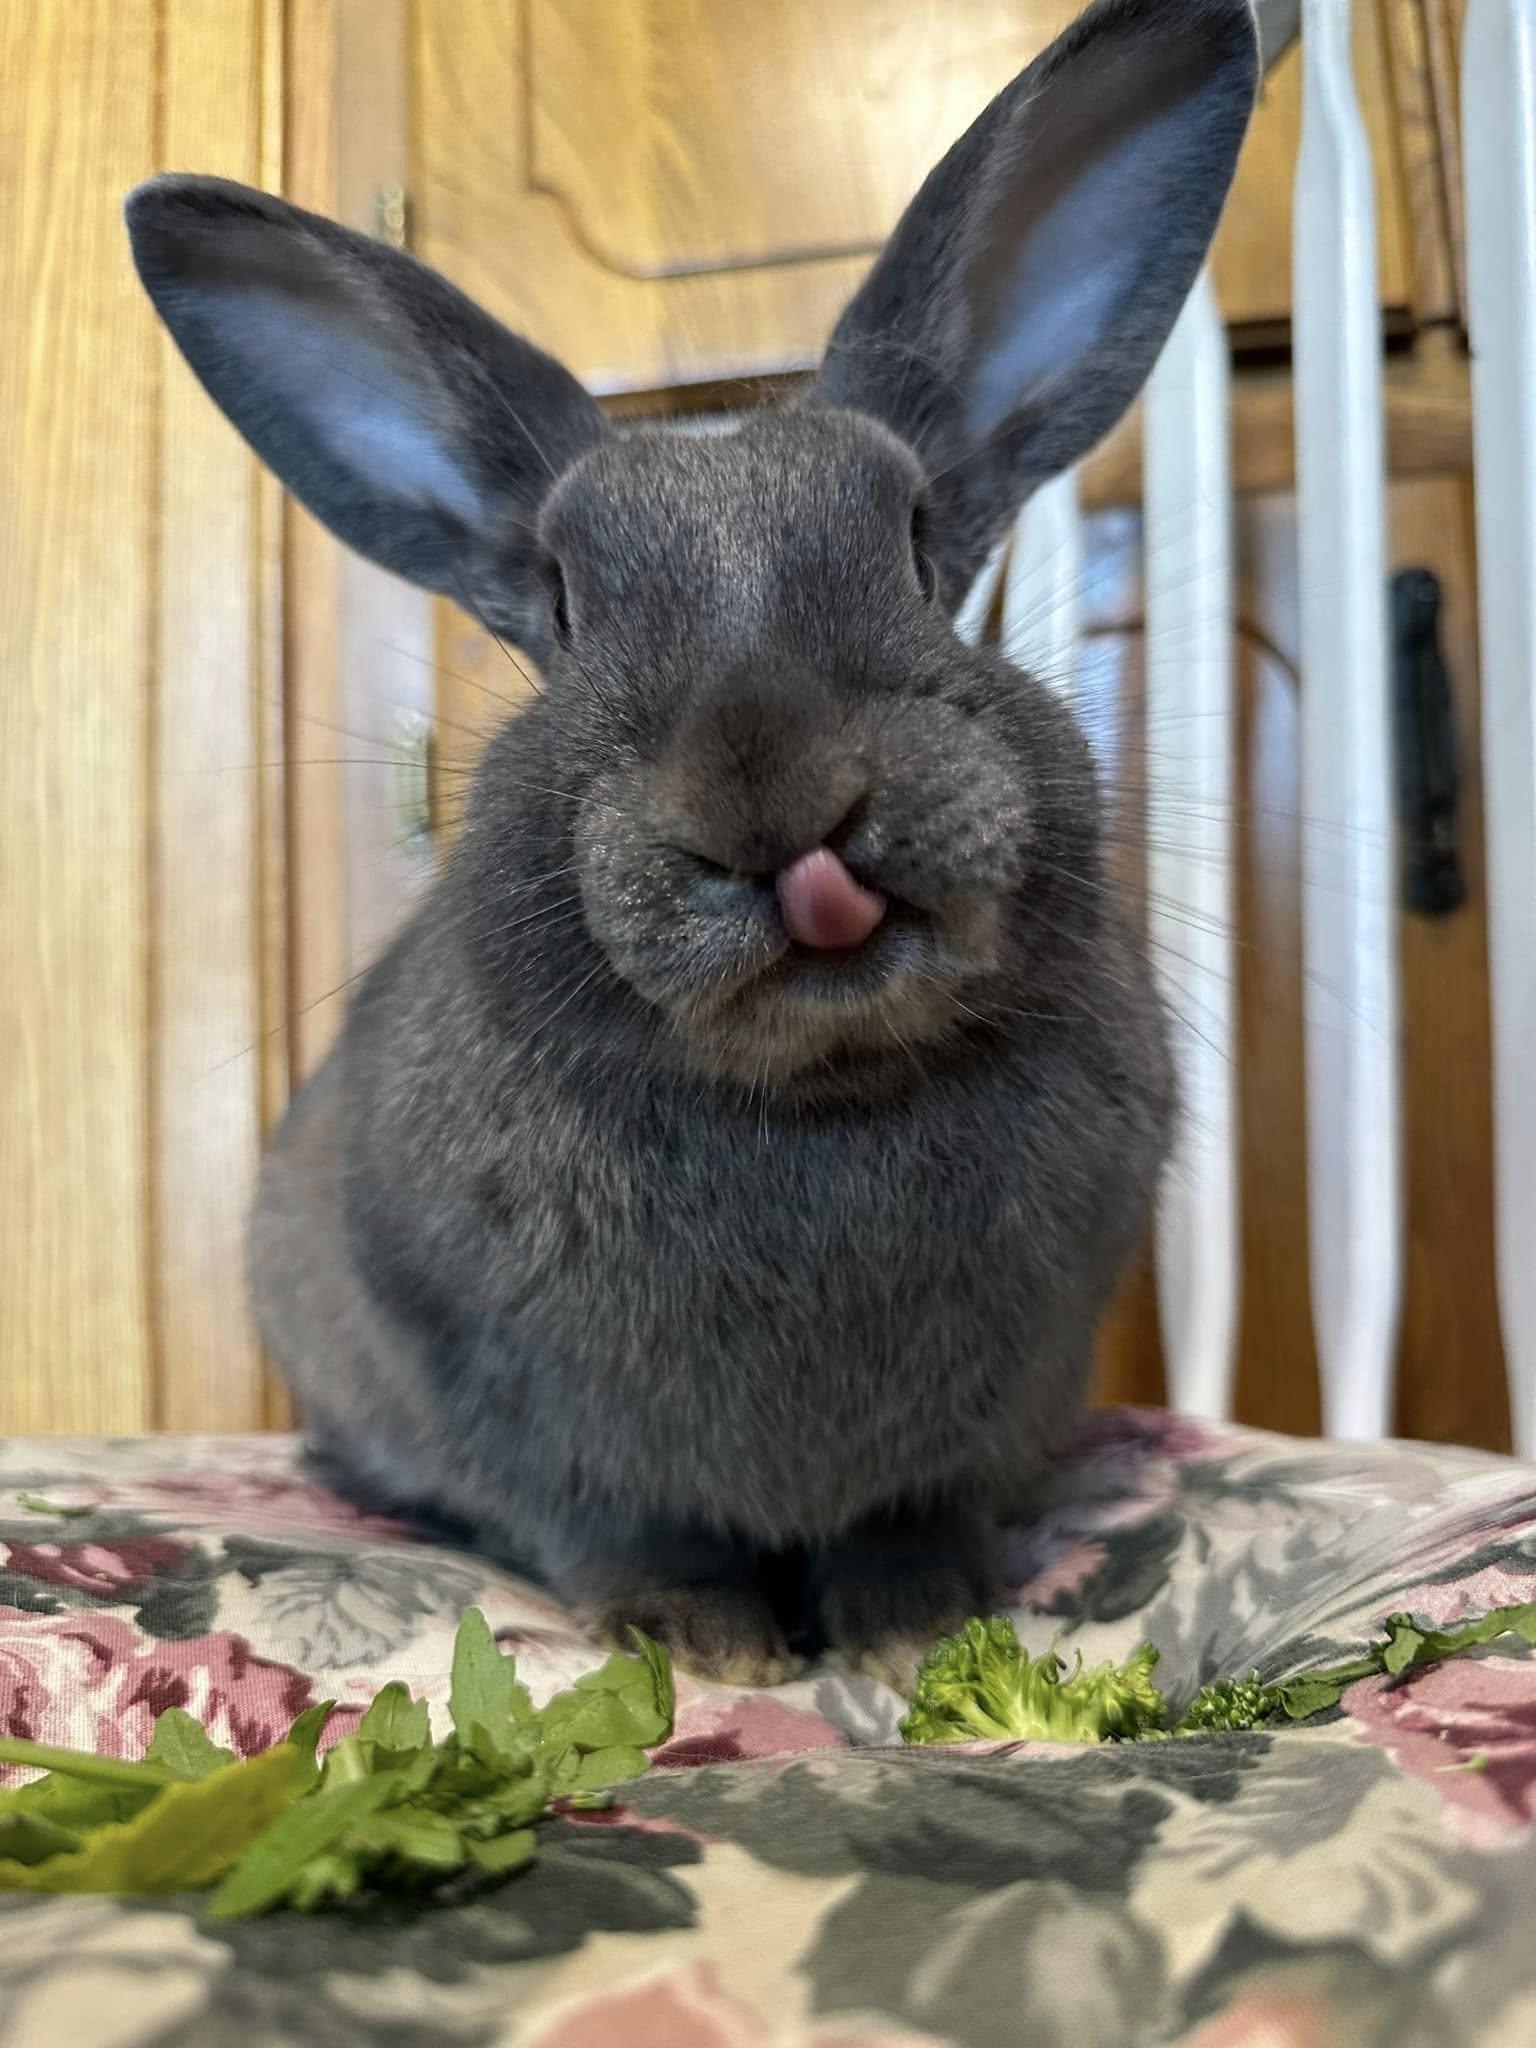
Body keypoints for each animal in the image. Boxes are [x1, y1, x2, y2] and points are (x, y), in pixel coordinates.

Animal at [125, 0, 1258, 1688]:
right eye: (564, 603)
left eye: (917, 545)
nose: (775, 794)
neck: (817, 1093)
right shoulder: (518, 1409)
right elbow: (623, 1531)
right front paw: (711, 1643)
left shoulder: (990, 1417)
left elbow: (911, 1523)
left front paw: (910, 1631)